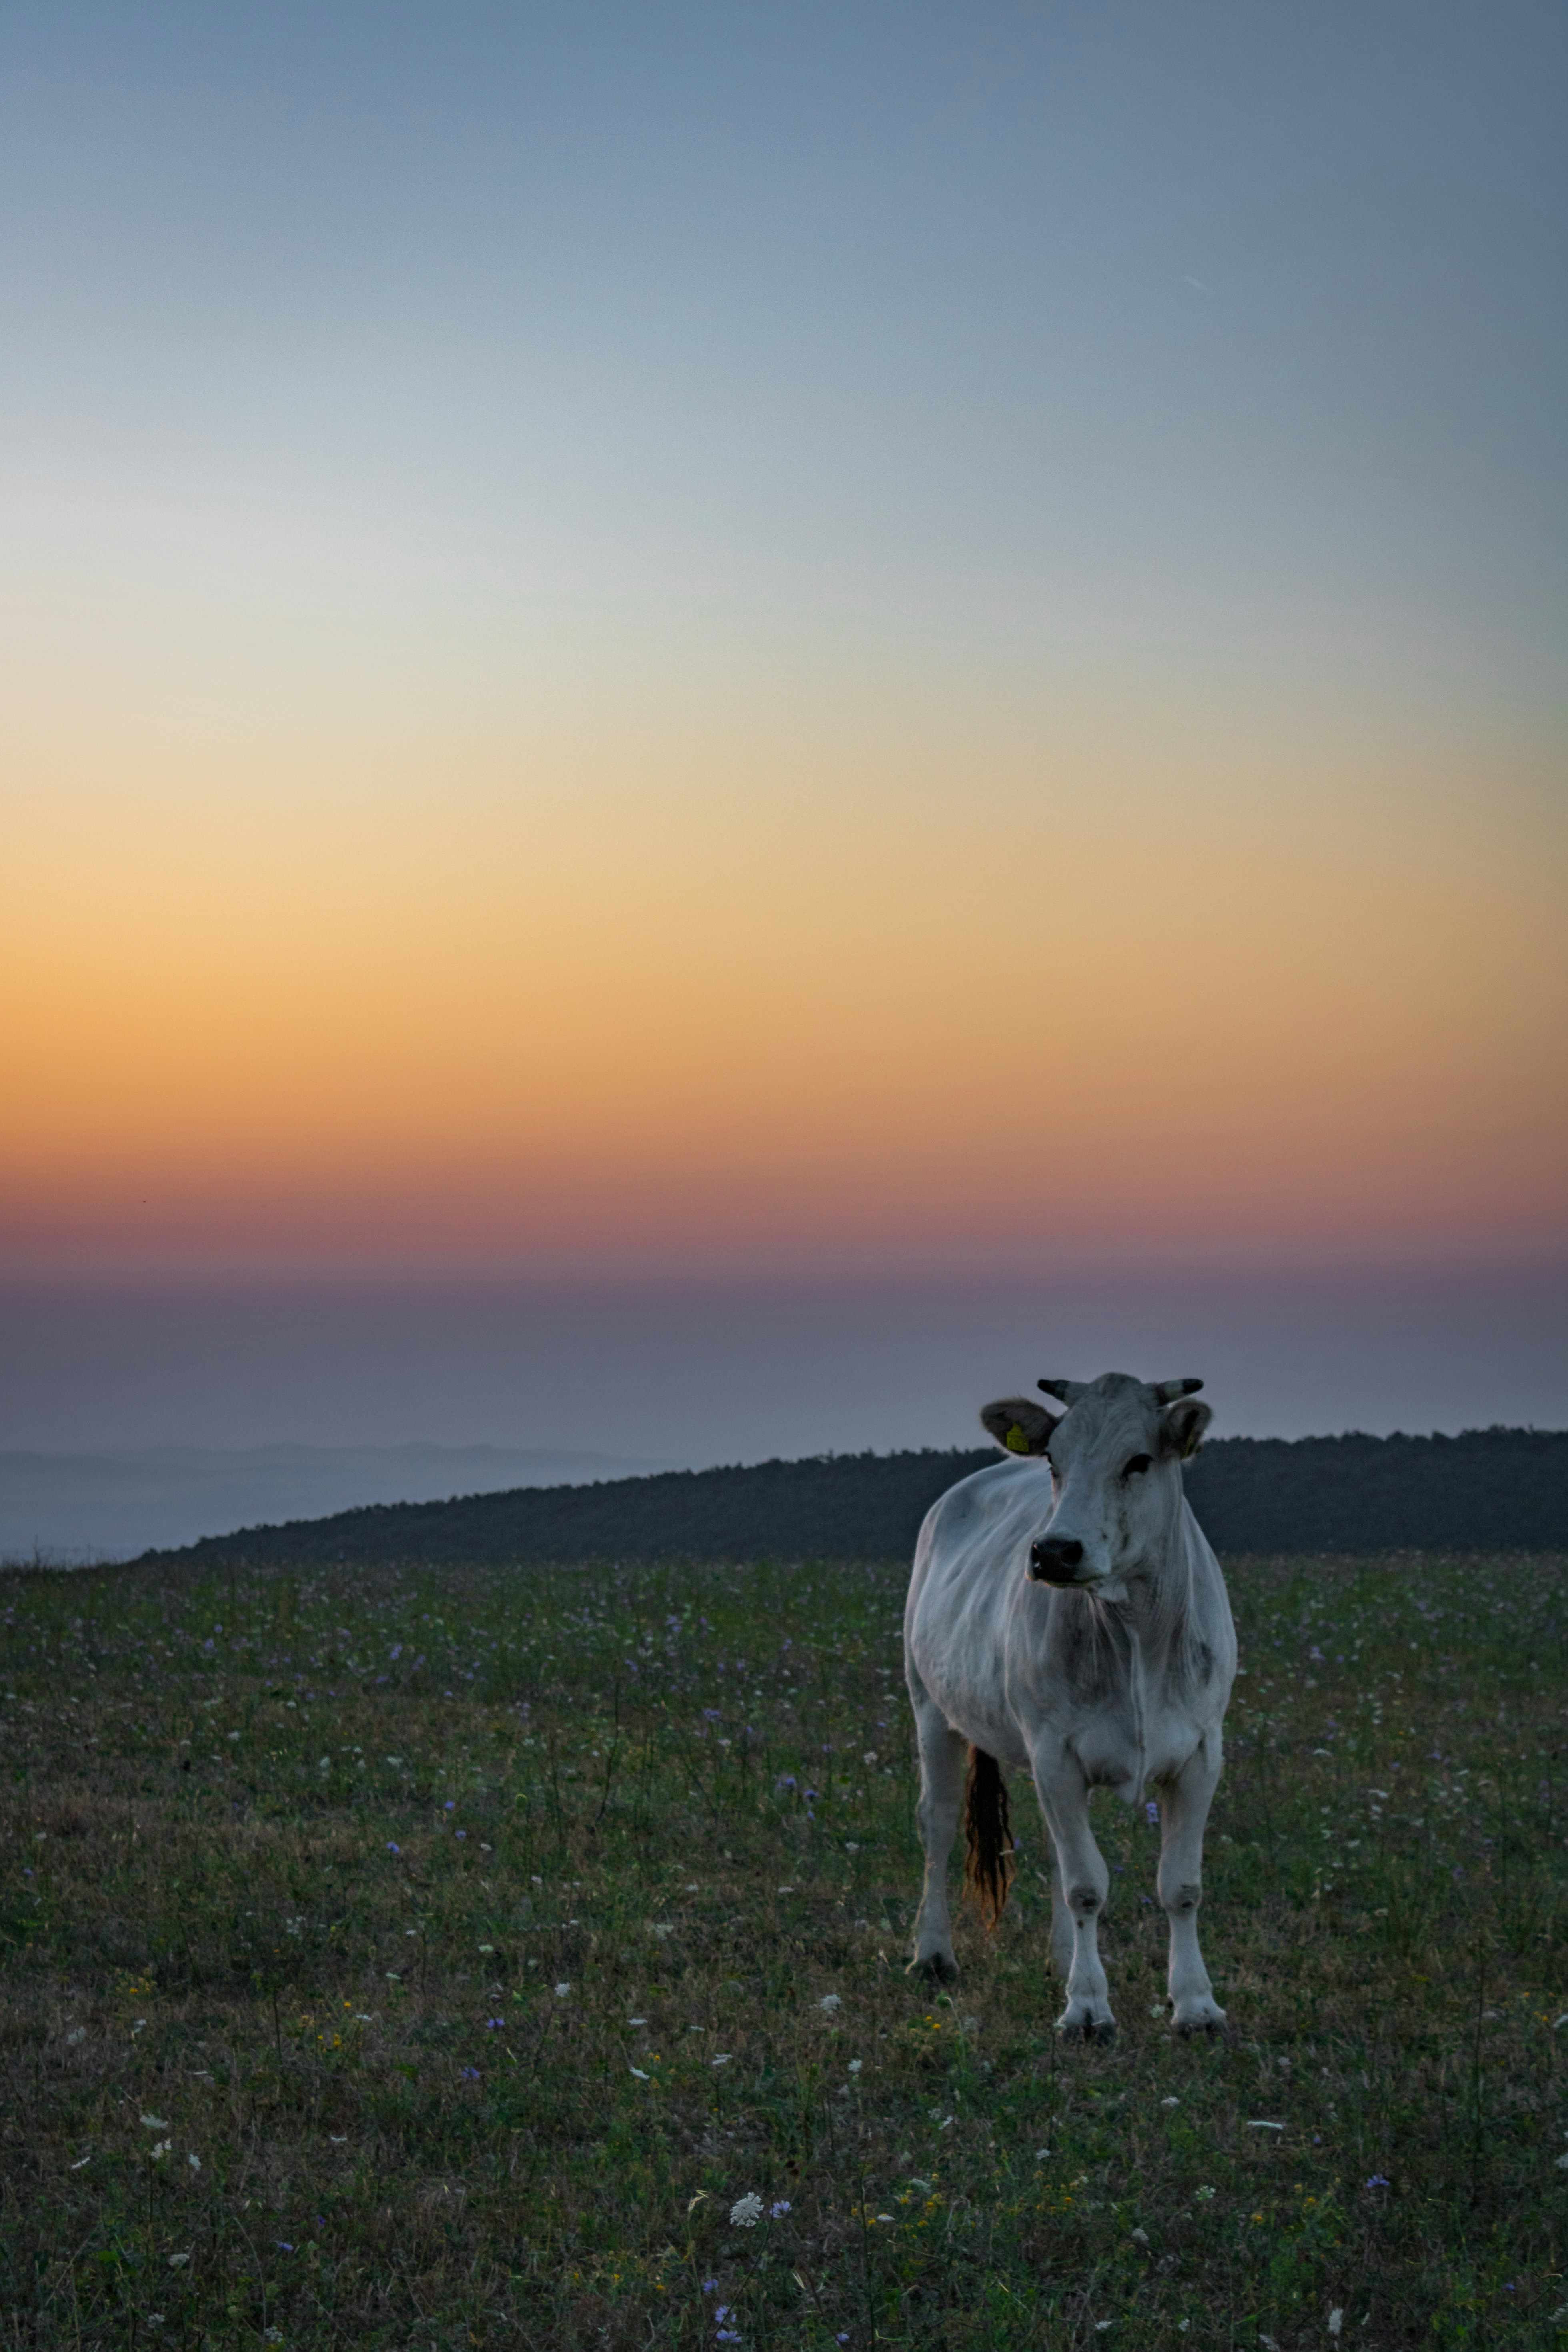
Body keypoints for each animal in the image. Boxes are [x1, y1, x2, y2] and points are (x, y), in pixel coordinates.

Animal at [903, 1371, 1236, 2040]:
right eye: (1054, 1460)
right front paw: (1086, 2007)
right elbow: (1085, 1884)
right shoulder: (1055, 1751)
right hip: (930, 1705)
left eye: (1137, 1460)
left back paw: (1060, 1958)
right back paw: (932, 1953)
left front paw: (1194, 2004)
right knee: (939, 1824)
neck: (1134, 1631)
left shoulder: (1199, 1752)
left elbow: (1180, 1884)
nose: (1053, 1550)